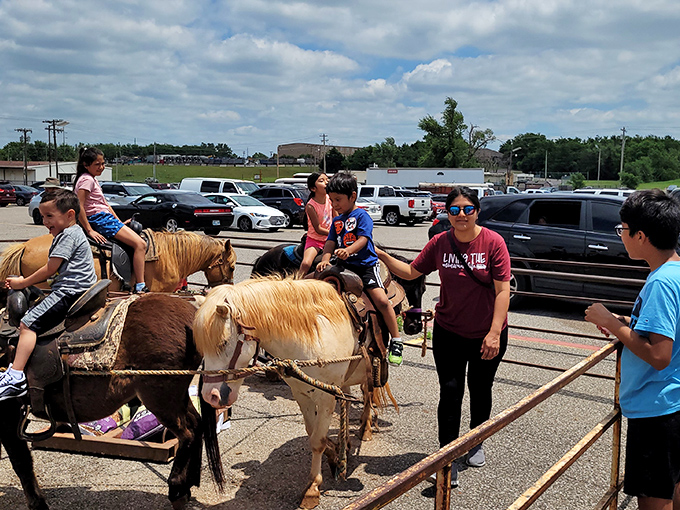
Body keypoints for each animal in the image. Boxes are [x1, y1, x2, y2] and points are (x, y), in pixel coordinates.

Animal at [0, 293, 224, 510]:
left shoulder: (8, 416)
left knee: (188, 433)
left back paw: (177, 488)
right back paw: (189, 483)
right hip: (176, 396)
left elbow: (21, 462)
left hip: (160, 397)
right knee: (197, 424)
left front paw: (38, 503)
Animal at [194, 278, 377, 509]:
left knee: (368, 393)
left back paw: (366, 427)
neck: (315, 336)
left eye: (223, 343)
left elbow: (318, 440)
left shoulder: (326, 397)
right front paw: (336, 454)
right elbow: (313, 433)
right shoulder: (301, 394)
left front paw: (313, 488)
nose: (211, 396)